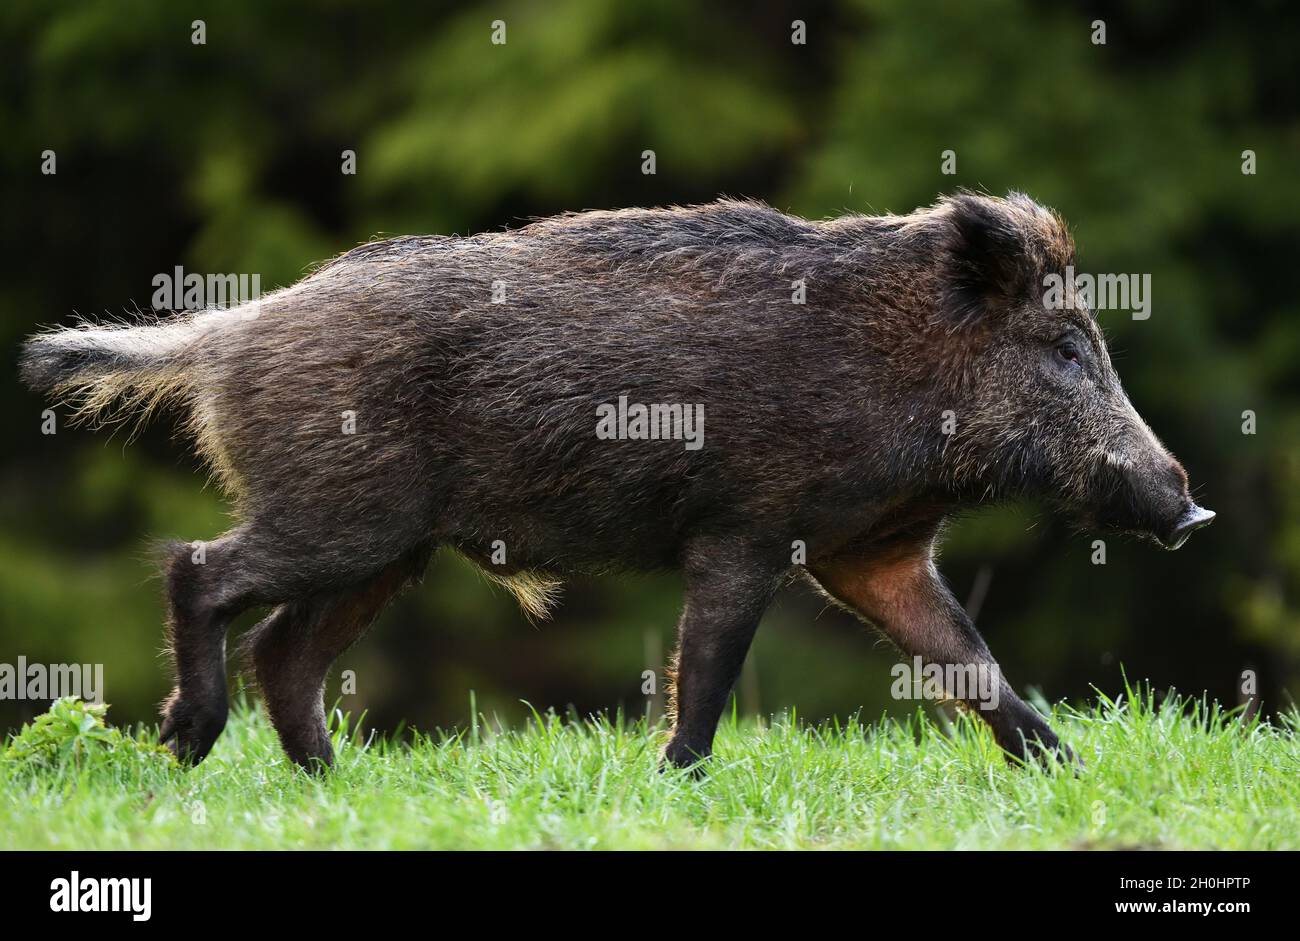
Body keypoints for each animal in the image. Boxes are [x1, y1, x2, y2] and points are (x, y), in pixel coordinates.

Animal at [19, 192, 1214, 770]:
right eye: (1067, 350)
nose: (1189, 502)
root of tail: (223, 337)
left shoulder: (867, 551)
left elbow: (970, 660)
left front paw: (1069, 771)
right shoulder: (745, 528)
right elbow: (711, 668)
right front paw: (676, 779)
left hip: (388, 546)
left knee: (288, 650)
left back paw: (329, 783)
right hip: (337, 515)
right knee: (201, 569)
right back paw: (187, 740)